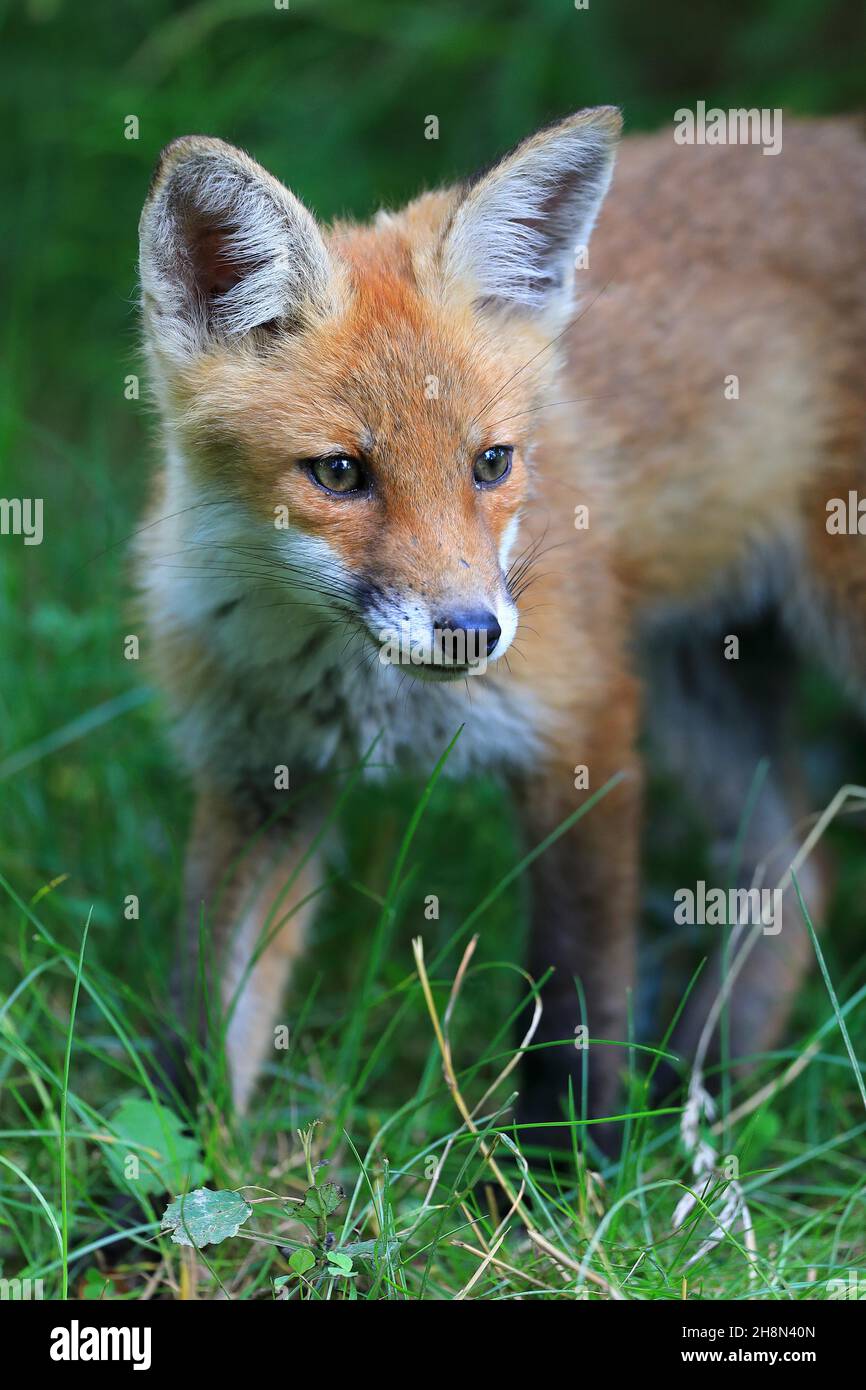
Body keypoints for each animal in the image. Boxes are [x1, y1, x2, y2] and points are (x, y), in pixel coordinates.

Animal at [137, 108, 866, 1137]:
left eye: (491, 462)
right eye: (339, 473)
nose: (471, 631)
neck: (368, 695)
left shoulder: (582, 729)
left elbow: (575, 999)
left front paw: (566, 1165)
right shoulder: (257, 780)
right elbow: (200, 1030)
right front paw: (167, 1183)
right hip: (701, 674)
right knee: (794, 872)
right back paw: (708, 1080)